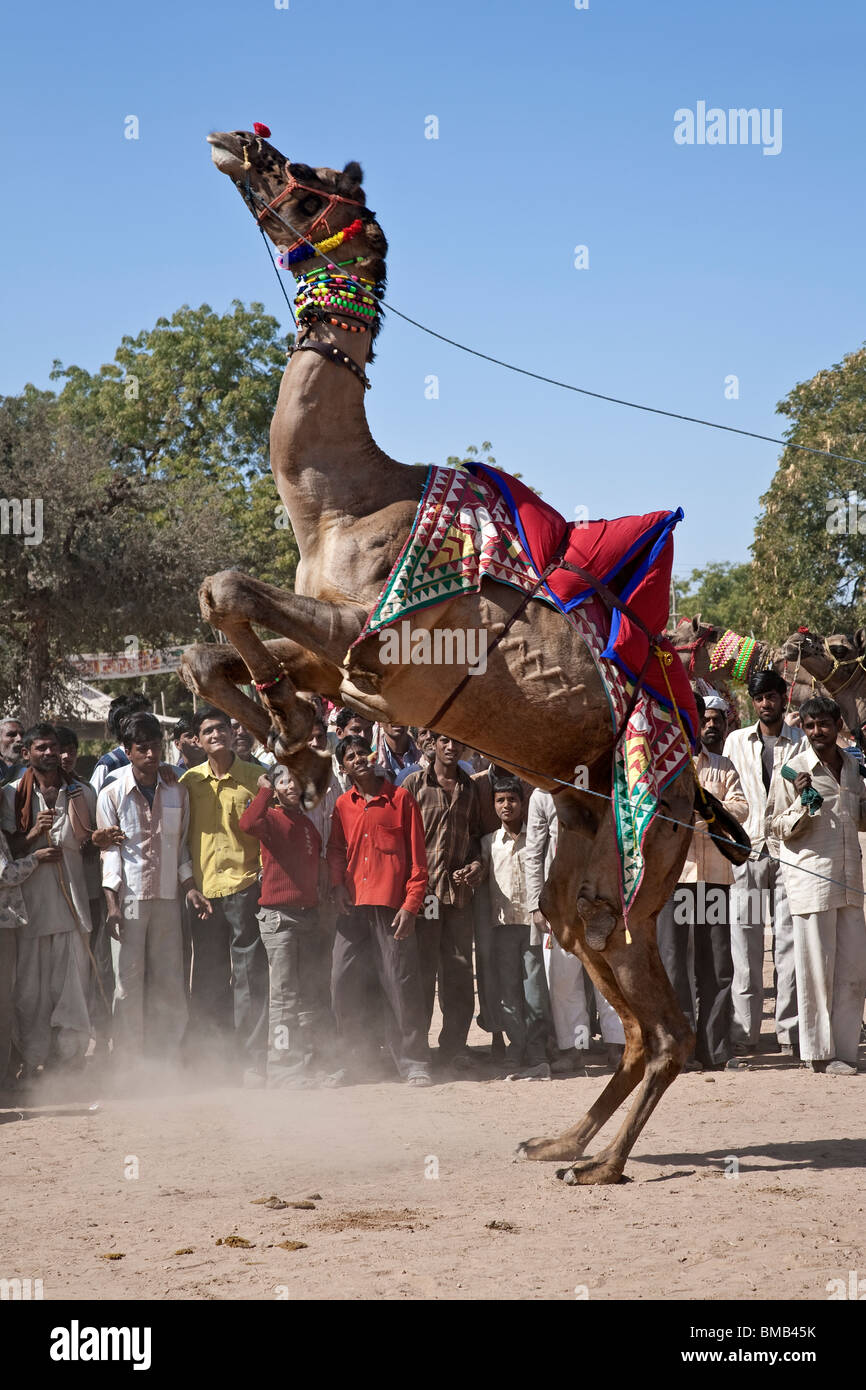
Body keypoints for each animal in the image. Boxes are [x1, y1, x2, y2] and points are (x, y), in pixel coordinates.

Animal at [181, 127, 747, 1185]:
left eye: (312, 183)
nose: (238, 140)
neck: (338, 501)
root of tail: (698, 794)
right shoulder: (348, 661)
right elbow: (211, 645)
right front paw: (293, 739)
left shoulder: (387, 648)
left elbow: (227, 587)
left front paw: (296, 741)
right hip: (584, 841)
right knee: (607, 974)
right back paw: (562, 1141)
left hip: (648, 850)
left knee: (667, 1026)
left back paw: (600, 1165)